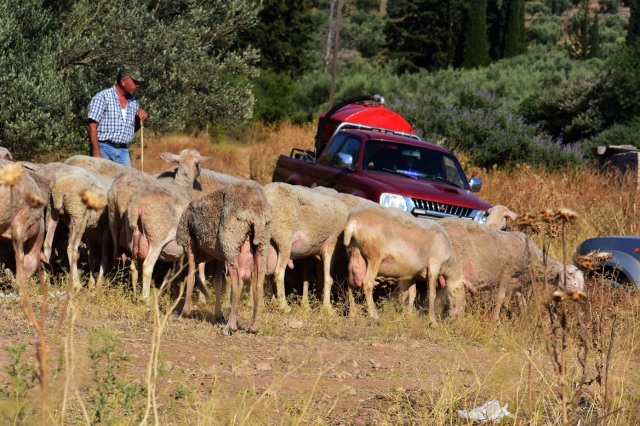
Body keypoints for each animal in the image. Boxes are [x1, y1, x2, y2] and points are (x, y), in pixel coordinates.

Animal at [124, 150, 211, 299]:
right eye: (199, 164)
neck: (182, 187)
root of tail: (138, 205)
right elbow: (201, 271)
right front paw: (202, 298)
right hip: (156, 236)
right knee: (147, 266)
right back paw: (145, 298)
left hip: (132, 235)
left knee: (134, 267)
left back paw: (135, 295)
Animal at [176, 180, 272, 333]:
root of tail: (255, 213)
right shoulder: (219, 256)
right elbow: (217, 282)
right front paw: (219, 316)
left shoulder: (189, 246)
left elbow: (191, 279)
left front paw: (184, 314)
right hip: (262, 244)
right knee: (258, 284)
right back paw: (253, 326)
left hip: (231, 243)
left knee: (237, 283)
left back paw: (230, 327)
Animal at [264, 182, 350, 312]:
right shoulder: (331, 245)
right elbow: (328, 279)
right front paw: (328, 308)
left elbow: (318, 279)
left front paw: (316, 303)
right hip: (284, 237)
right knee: (278, 272)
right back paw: (284, 306)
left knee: (262, 271)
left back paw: (265, 303)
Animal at [438, 217, 585, 321]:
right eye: (571, 276)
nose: (581, 297)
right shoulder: (507, 271)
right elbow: (501, 297)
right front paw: (495, 320)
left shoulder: (517, 283)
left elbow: (522, 303)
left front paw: (524, 321)